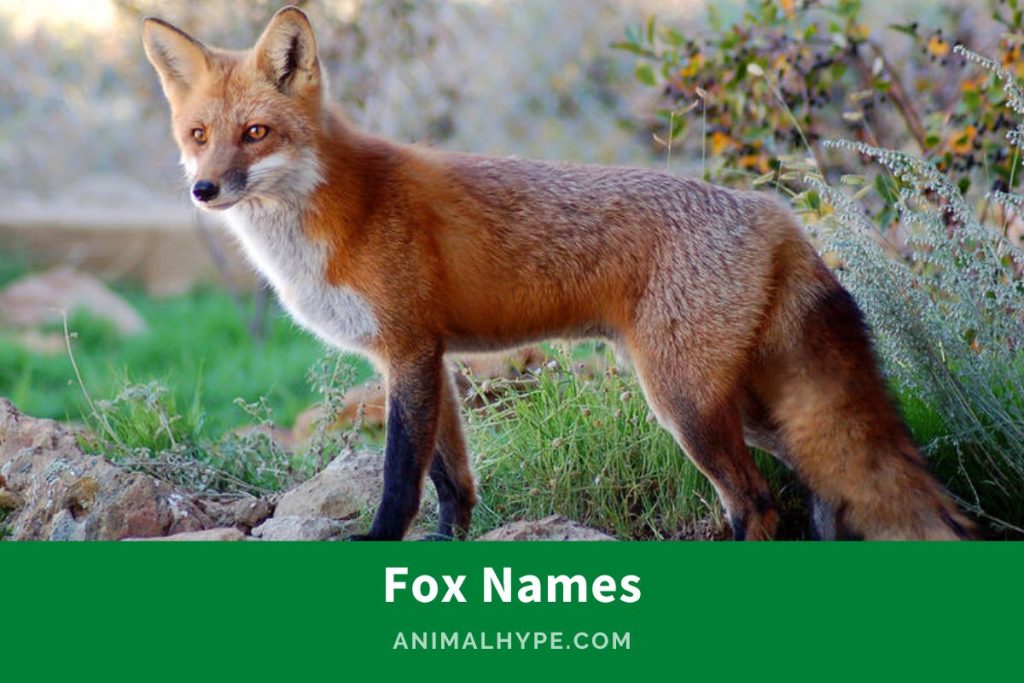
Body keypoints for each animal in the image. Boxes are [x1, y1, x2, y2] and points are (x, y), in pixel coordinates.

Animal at [142, 6, 973, 541]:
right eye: (199, 134)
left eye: (256, 133)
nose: (204, 189)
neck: (337, 211)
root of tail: (774, 211)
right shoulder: (424, 360)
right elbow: (453, 482)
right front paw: (446, 549)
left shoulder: (408, 350)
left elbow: (400, 480)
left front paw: (379, 543)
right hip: (750, 407)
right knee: (825, 493)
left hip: (685, 403)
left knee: (759, 503)